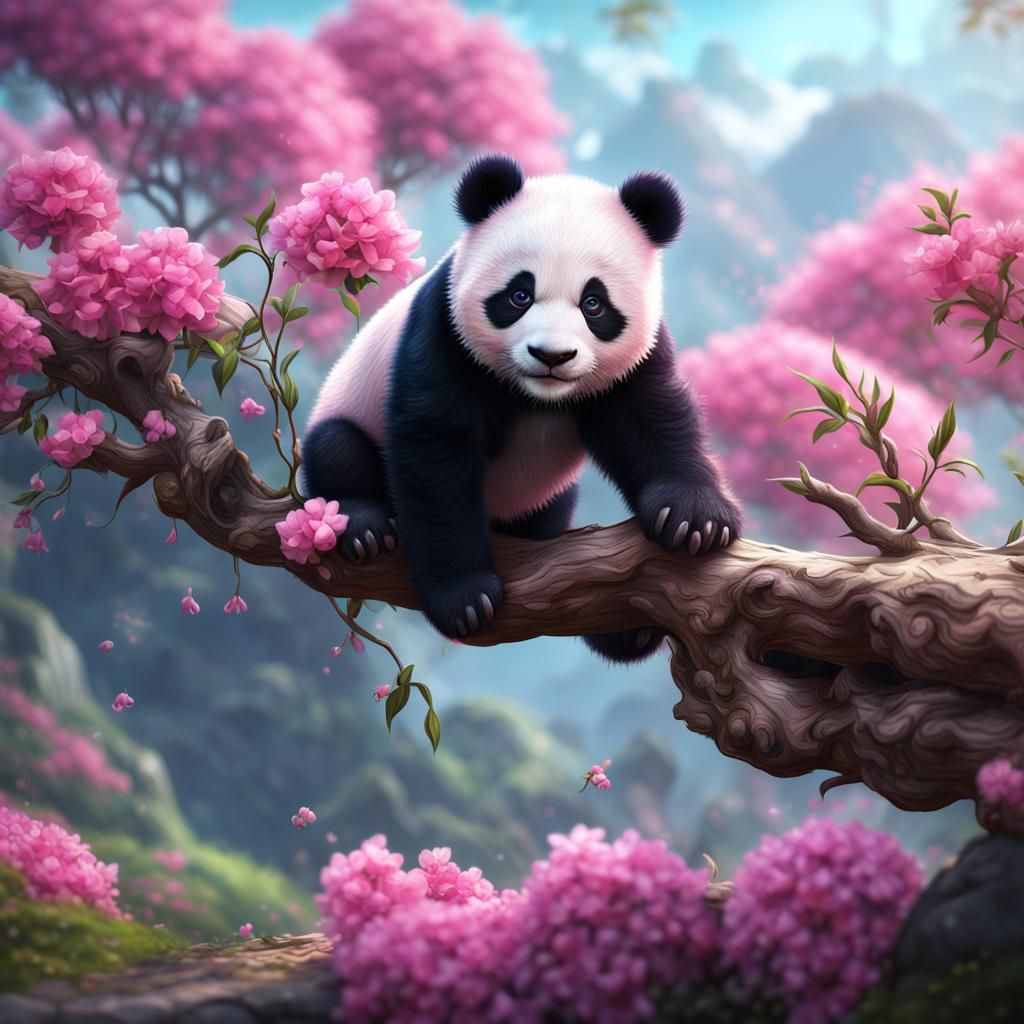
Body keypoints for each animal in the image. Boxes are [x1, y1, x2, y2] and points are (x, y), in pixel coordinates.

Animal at [302, 154, 741, 662]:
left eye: (594, 303)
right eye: (519, 295)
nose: (552, 355)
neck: (536, 395)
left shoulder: (639, 357)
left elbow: (651, 419)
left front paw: (694, 520)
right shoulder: (443, 331)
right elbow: (435, 448)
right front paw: (464, 596)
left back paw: (629, 629)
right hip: (347, 405)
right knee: (336, 447)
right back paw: (362, 525)